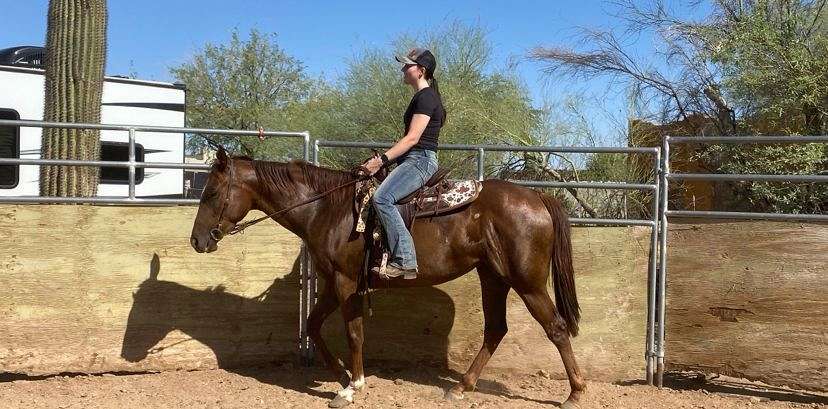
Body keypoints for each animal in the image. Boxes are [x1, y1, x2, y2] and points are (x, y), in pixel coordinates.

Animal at [189, 148, 586, 408]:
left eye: (211, 192)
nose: (197, 241)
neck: (328, 209)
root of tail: (537, 197)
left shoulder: (347, 283)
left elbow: (354, 333)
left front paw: (353, 386)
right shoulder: (332, 282)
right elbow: (313, 325)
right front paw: (340, 374)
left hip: (527, 282)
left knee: (556, 328)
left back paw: (575, 392)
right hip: (493, 277)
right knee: (495, 329)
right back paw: (462, 387)